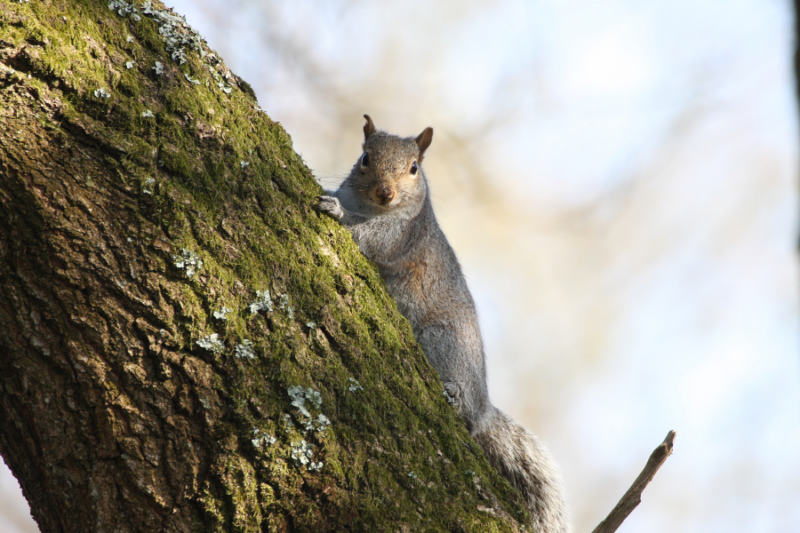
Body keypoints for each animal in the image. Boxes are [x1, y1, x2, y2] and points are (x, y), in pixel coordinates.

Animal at [315, 115, 569, 533]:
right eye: (365, 158)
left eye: (414, 168)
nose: (385, 192)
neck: (373, 208)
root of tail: (484, 406)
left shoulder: (401, 236)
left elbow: (368, 236)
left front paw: (335, 210)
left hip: (440, 340)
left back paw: (455, 395)